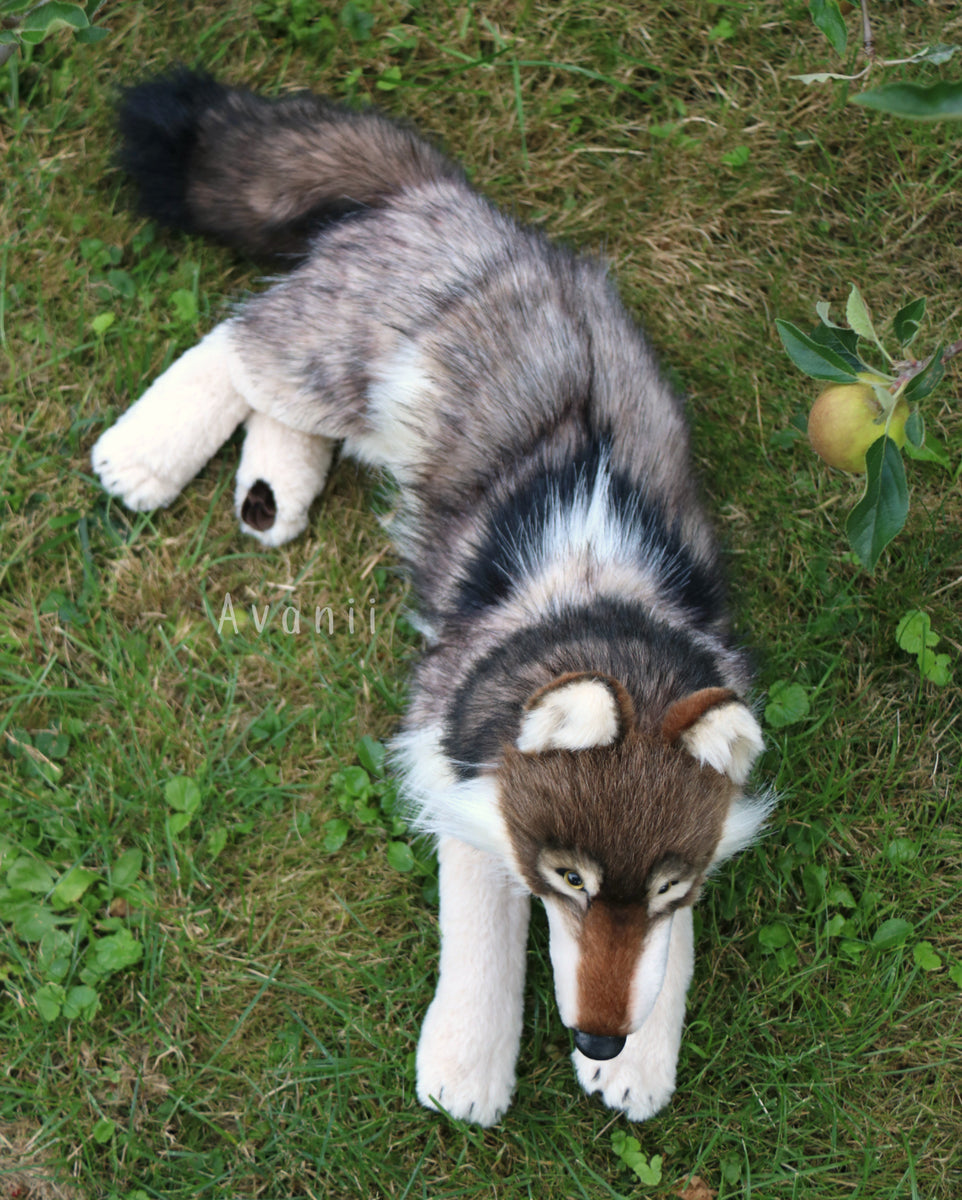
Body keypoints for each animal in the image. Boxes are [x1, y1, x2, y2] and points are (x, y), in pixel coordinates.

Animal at [92, 70, 773, 1126]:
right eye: (566, 879)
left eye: (666, 890)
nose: (598, 1039)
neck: (600, 611)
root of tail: (445, 197)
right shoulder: (452, 759)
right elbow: (481, 923)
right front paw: (468, 1064)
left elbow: (673, 952)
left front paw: (640, 1062)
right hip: (342, 356)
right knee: (238, 340)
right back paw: (143, 456)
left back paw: (270, 492)